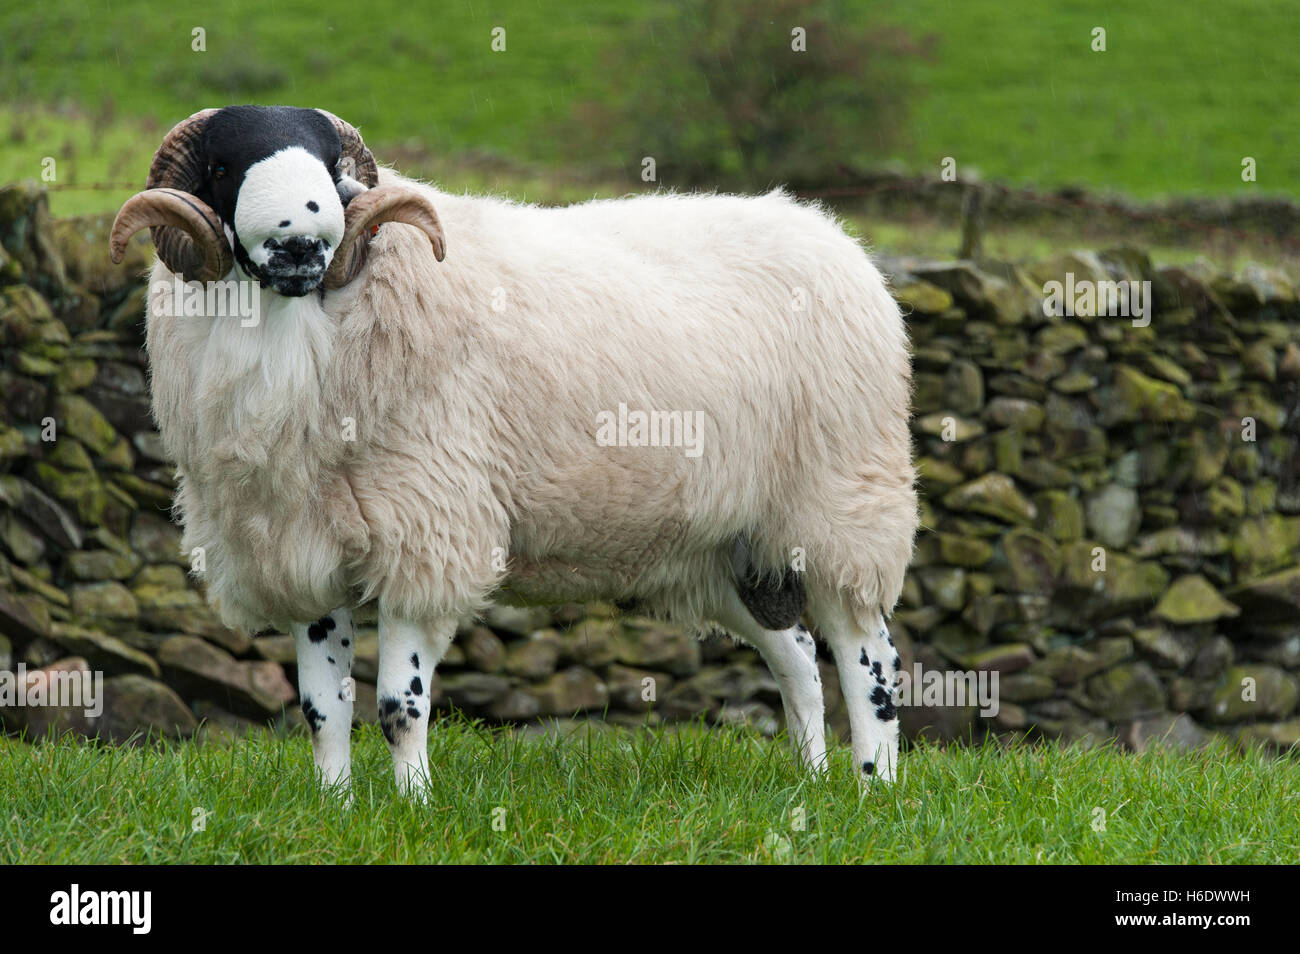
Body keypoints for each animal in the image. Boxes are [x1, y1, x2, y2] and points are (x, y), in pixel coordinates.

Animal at [110, 104, 918, 795]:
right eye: (224, 164)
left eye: (325, 160)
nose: (302, 243)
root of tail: (831, 234)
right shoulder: (303, 551)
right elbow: (322, 708)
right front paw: (334, 806)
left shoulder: (426, 532)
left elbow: (399, 705)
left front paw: (413, 806)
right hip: (733, 550)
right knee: (799, 658)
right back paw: (809, 780)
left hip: (841, 504)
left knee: (868, 655)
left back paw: (873, 786)